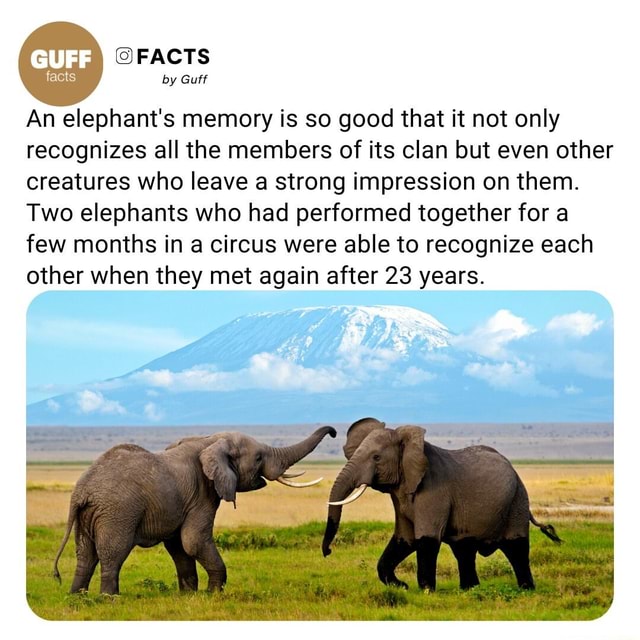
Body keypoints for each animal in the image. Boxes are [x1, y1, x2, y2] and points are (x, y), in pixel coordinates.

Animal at [53, 426, 336, 595]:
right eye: (257, 458)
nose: (333, 432)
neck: (210, 439)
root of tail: (81, 491)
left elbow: (179, 546)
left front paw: (189, 595)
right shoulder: (202, 493)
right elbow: (194, 541)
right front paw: (214, 594)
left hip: (88, 515)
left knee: (85, 554)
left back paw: (77, 597)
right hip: (117, 512)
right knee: (113, 553)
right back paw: (110, 598)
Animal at [322, 418, 561, 591]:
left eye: (376, 457)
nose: (328, 552)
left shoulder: (434, 490)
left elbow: (426, 539)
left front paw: (426, 591)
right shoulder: (400, 494)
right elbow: (404, 539)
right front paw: (403, 586)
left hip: (517, 500)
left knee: (516, 547)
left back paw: (526, 589)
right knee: (464, 549)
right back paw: (469, 589)